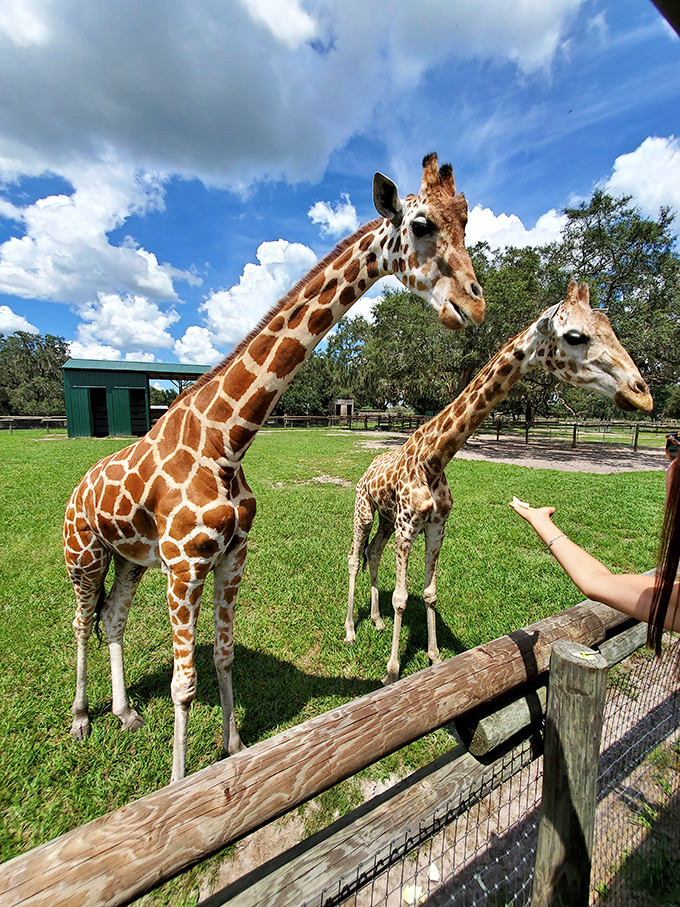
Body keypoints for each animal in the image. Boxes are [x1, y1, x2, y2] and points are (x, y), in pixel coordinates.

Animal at [64, 153, 485, 783]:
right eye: (421, 225)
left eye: (466, 223)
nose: (474, 304)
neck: (226, 441)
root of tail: (75, 492)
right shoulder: (185, 563)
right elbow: (183, 683)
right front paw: (179, 784)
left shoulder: (231, 555)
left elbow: (222, 655)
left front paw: (234, 749)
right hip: (84, 554)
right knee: (80, 622)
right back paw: (81, 719)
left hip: (132, 559)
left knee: (111, 619)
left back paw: (125, 715)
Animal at [345, 280, 653, 684]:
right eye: (575, 336)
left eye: (611, 327)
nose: (641, 393)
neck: (433, 460)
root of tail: (367, 469)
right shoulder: (408, 527)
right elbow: (401, 597)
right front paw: (392, 672)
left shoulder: (436, 526)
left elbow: (429, 593)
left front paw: (435, 658)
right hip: (364, 510)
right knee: (354, 557)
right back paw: (351, 631)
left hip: (384, 519)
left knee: (373, 552)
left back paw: (377, 621)